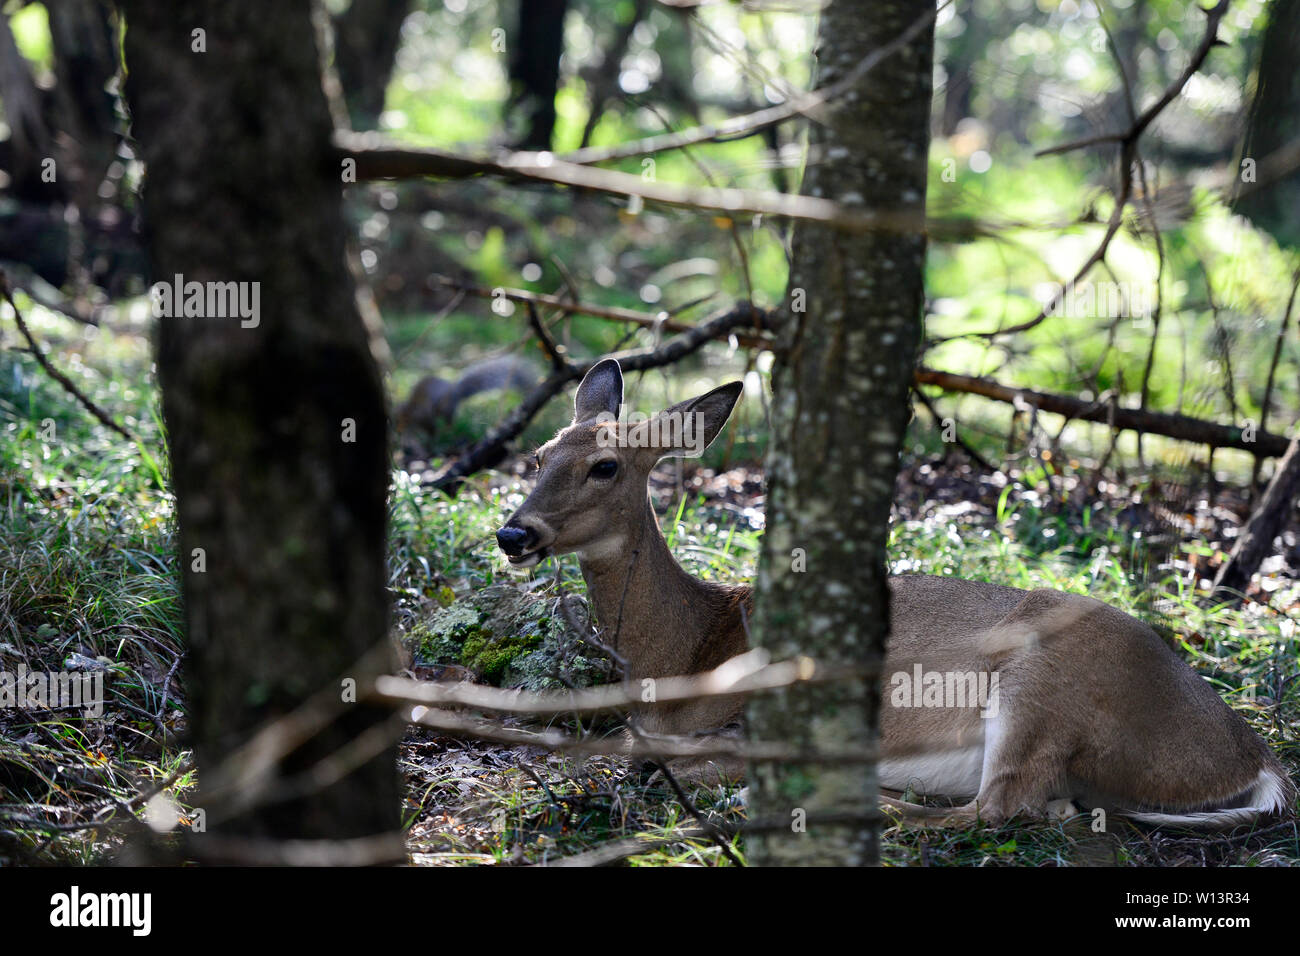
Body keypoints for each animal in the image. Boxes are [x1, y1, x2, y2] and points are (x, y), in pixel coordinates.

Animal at [495, 358, 1295, 828]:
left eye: (604, 466)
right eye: (538, 454)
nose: (513, 533)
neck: (685, 652)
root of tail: (1252, 755)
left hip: (1047, 680)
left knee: (997, 807)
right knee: (1047, 807)